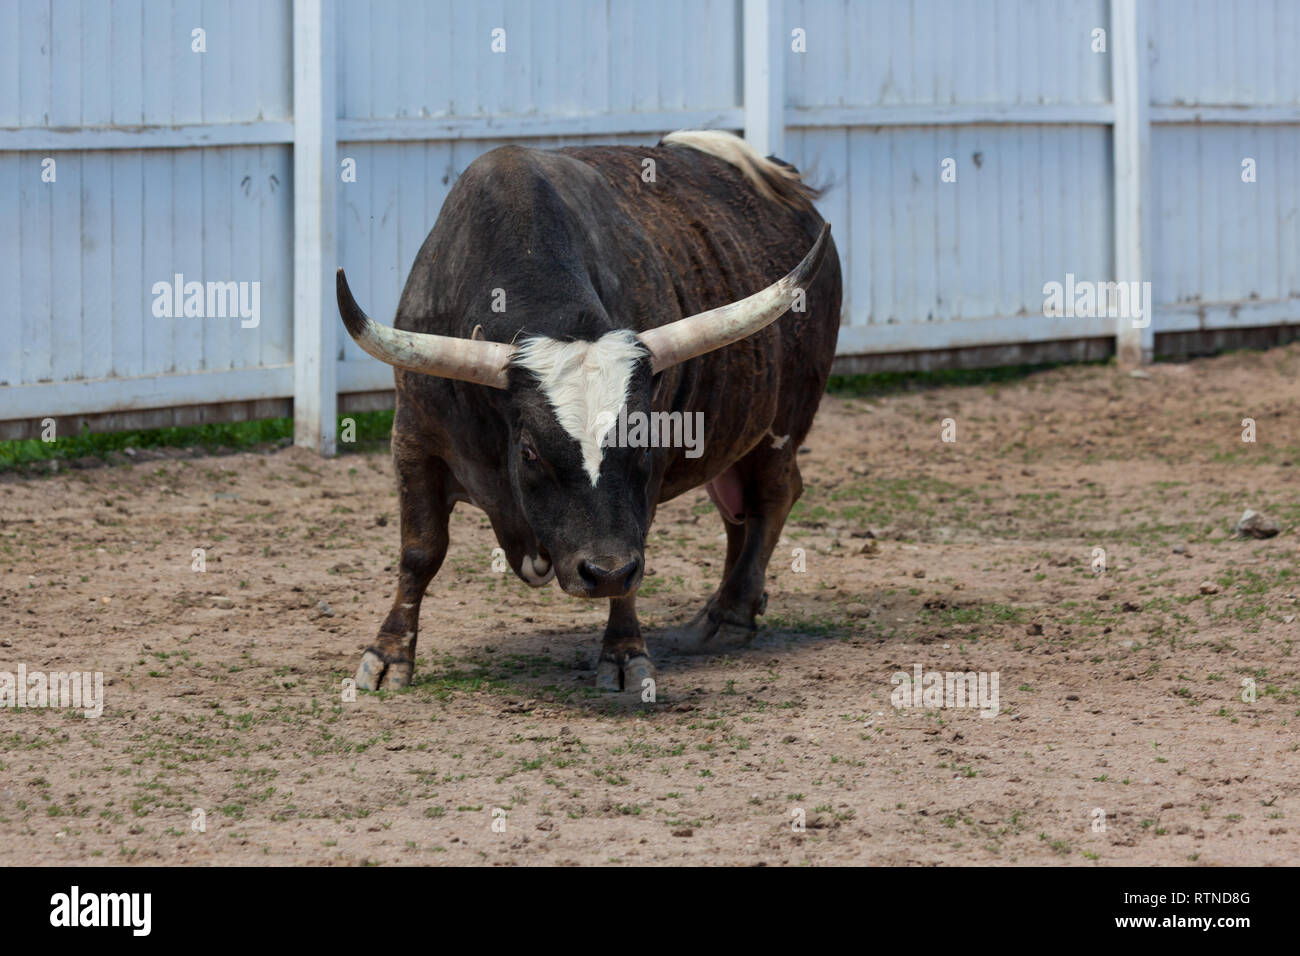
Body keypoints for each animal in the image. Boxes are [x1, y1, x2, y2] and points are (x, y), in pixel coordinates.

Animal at [336, 130, 842, 692]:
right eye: (530, 453)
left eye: (644, 442)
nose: (605, 573)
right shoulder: (415, 438)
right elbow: (420, 550)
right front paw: (387, 654)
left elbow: (637, 544)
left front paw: (624, 653)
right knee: (739, 511)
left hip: (784, 418)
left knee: (772, 496)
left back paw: (730, 614)